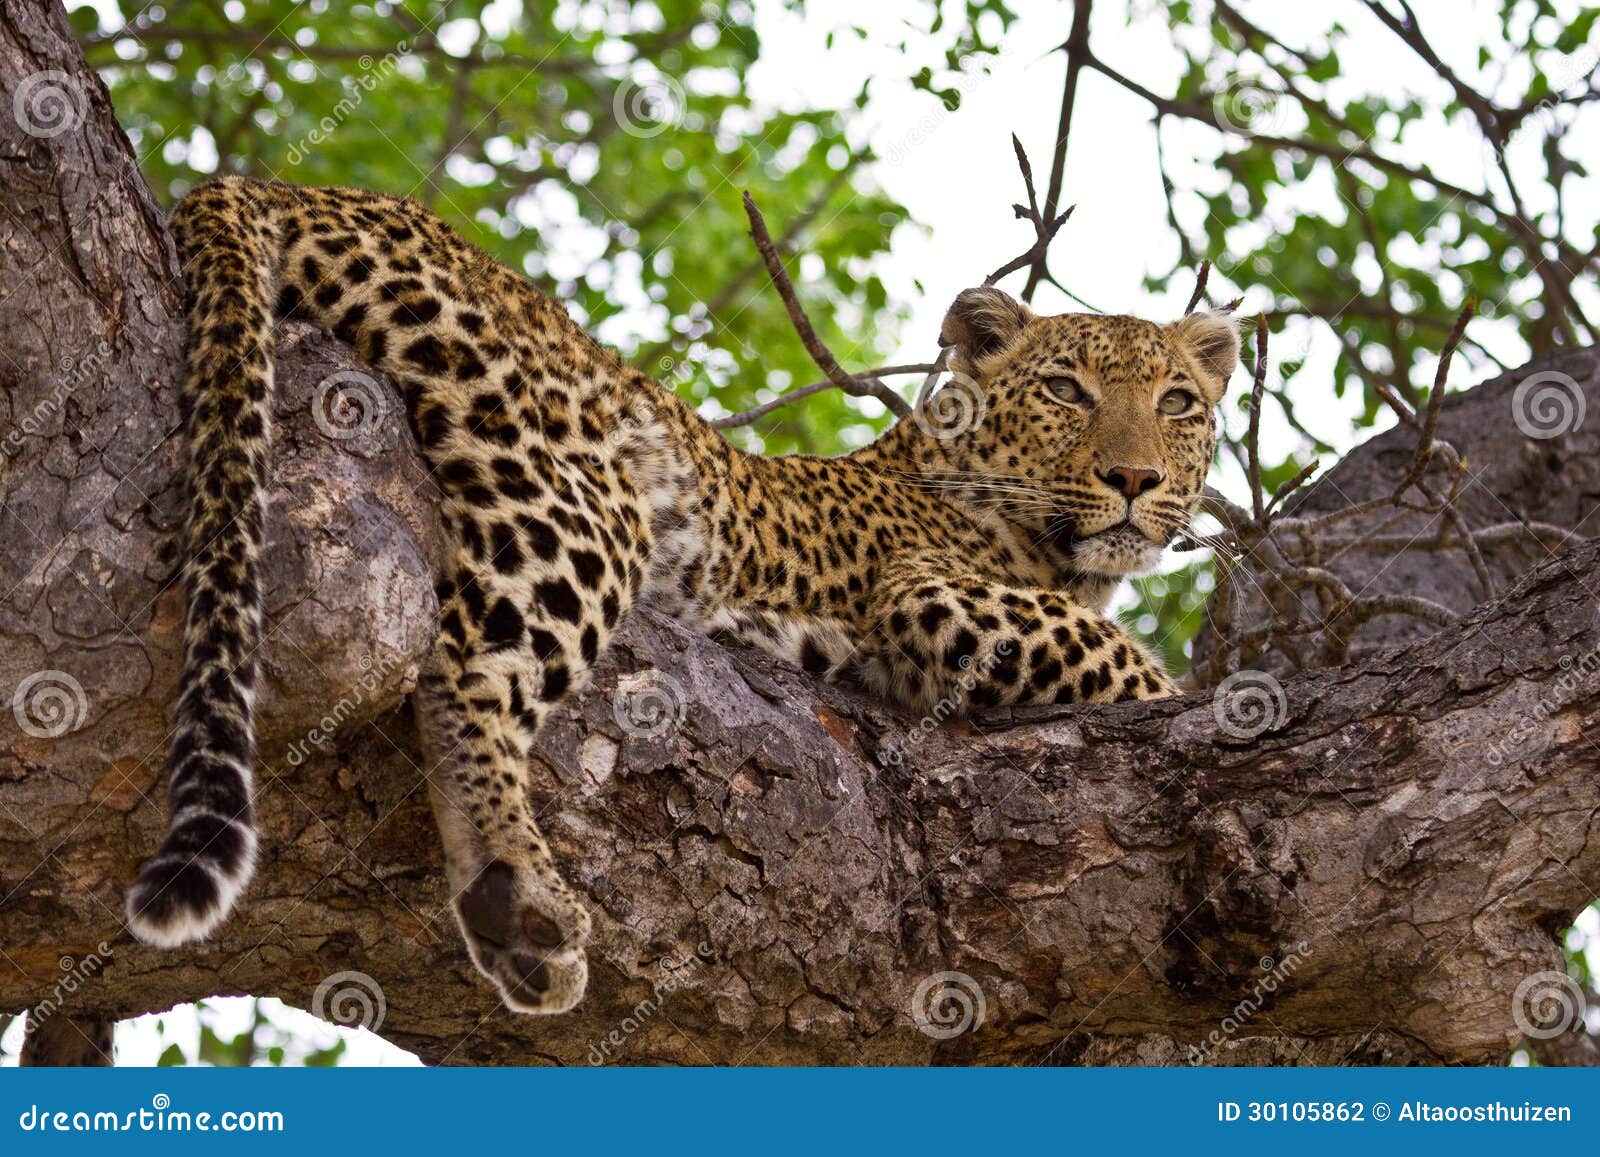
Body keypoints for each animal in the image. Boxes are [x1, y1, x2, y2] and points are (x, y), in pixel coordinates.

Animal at [124, 174, 1239, 1016]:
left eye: (1178, 402)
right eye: (1065, 392)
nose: (1133, 478)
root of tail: (295, 182)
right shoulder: (930, 593)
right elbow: (1126, 660)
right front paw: (1199, 691)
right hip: (581, 494)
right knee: (461, 664)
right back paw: (518, 892)